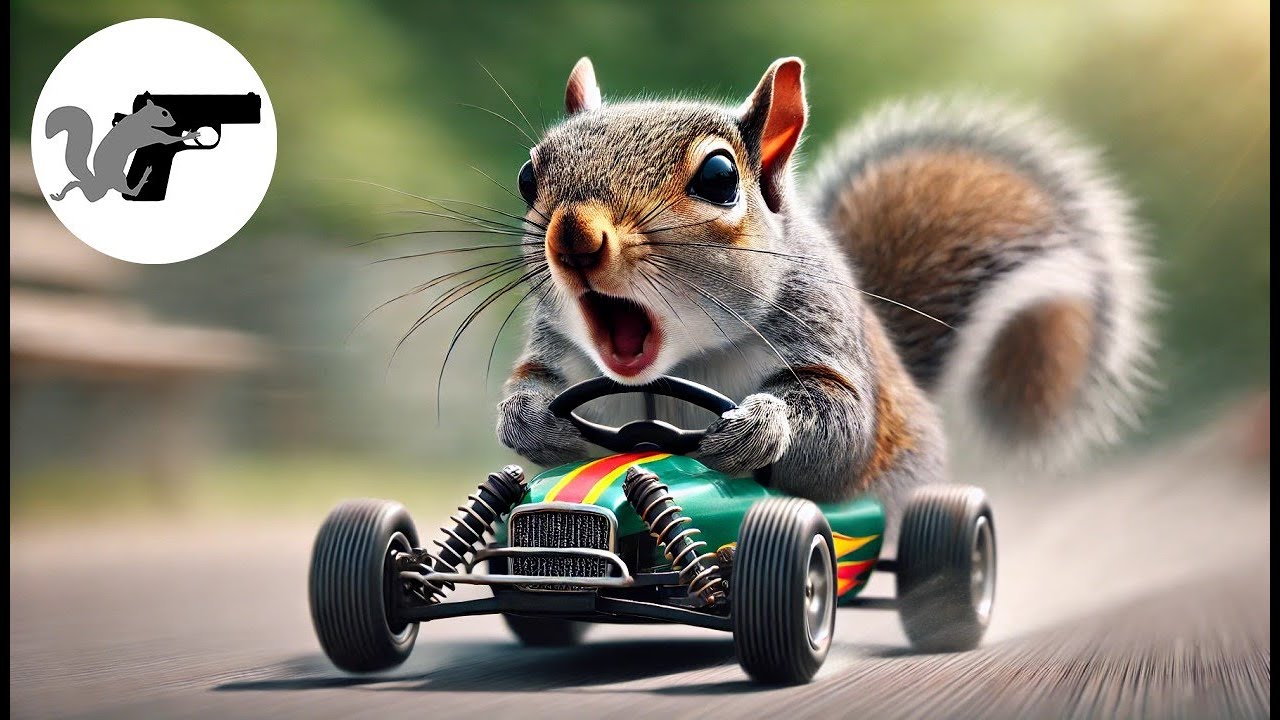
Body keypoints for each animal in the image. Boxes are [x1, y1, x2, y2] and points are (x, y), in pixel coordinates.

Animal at [45, 99, 198, 202]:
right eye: (164, 113)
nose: (175, 122)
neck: (140, 117)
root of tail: (100, 182)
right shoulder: (150, 134)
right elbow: (167, 140)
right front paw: (190, 135)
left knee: (81, 188)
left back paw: (62, 193)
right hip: (119, 178)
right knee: (131, 192)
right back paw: (145, 176)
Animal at [496, 57, 1151, 520]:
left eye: (720, 177)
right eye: (529, 176)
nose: (575, 236)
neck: (678, 367)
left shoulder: (822, 332)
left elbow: (844, 424)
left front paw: (759, 428)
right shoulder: (558, 354)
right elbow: (528, 388)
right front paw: (533, 422)